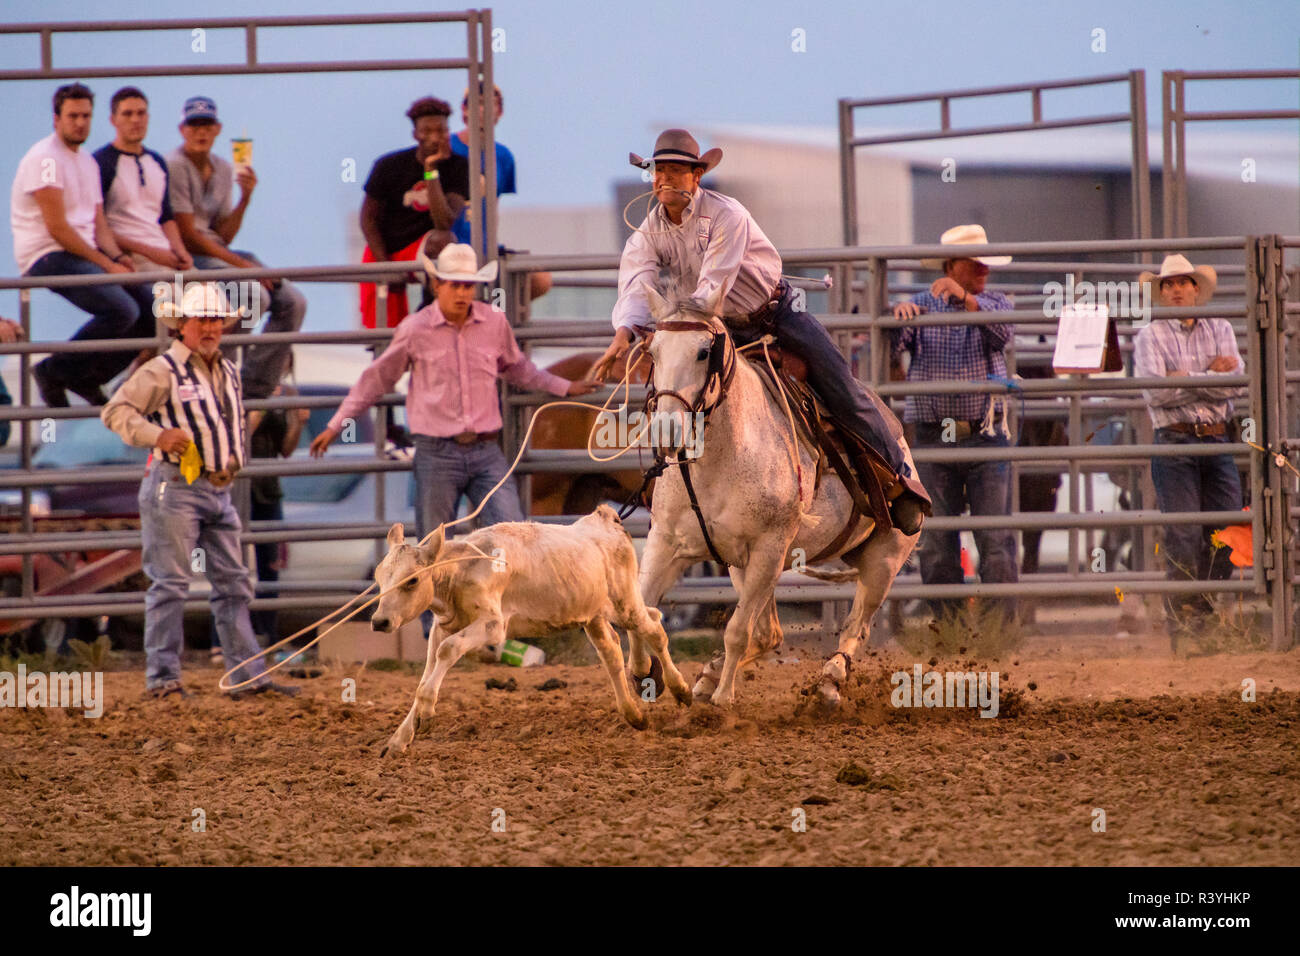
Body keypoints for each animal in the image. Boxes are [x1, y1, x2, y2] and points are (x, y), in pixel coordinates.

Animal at [376, 505, 692, 757]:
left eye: (412, 580)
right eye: (379, 577)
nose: (379, 622)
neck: (462, 569)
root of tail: (605, 519)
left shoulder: (492, 626)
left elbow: (448, 650)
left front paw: (427, 714)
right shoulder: (443, 627)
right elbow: (427, 673)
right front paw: (399, 738)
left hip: (624, 602)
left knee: (654, 627)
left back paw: (681, 689)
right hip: (594, 615)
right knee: (613, 651)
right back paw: (634, 713)